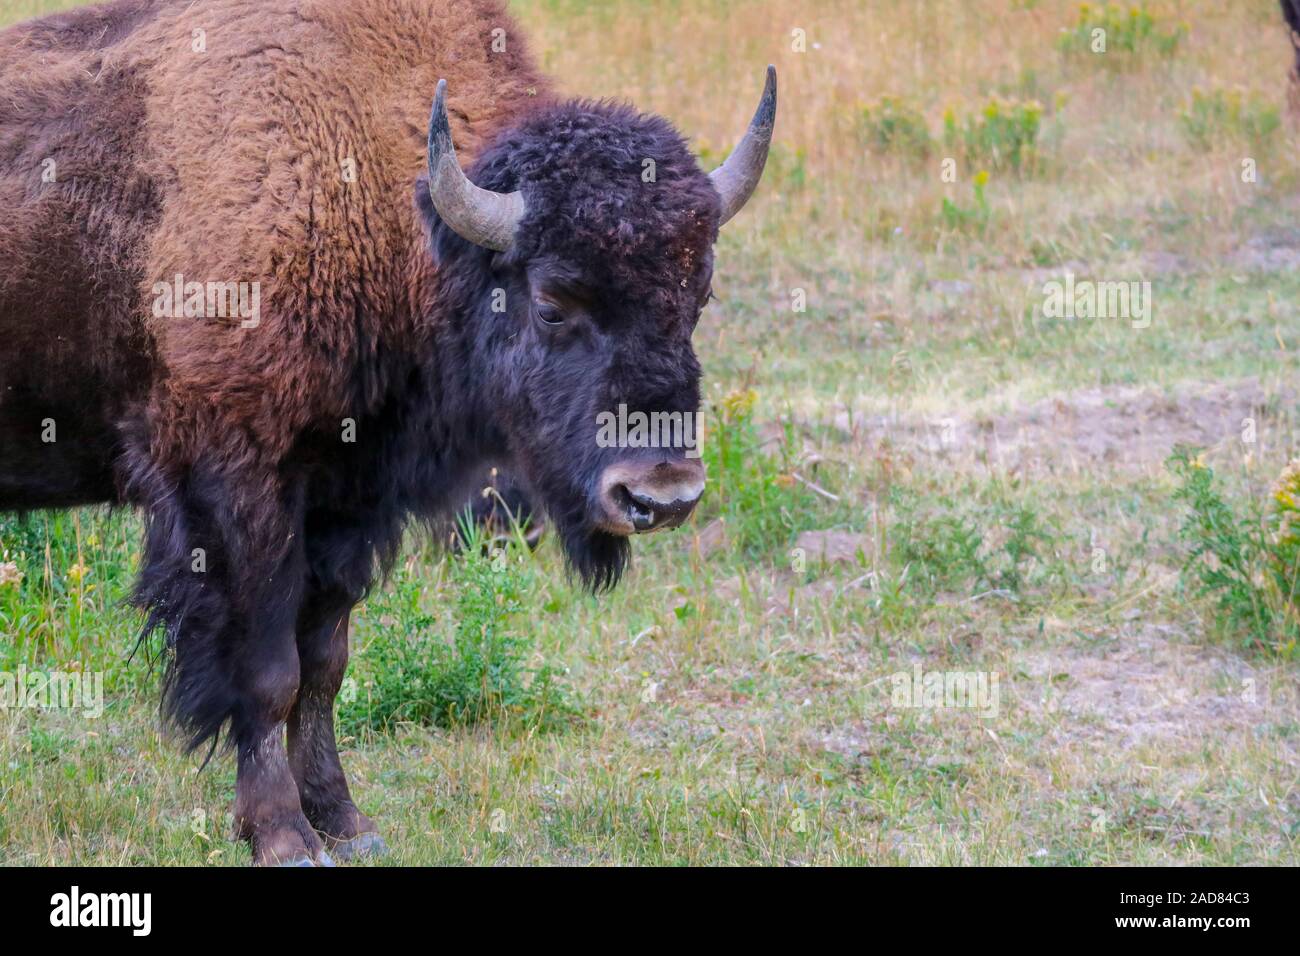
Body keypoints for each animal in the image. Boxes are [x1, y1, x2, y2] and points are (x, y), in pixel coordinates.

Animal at [0, 0, 775, 864]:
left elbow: (324, 664)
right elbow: (267, 672)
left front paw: (346, 822)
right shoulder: (238, 491)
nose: (661, 495)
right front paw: (283, 836)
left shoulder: (347, 500)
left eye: (698, 296)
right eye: (551, 301)